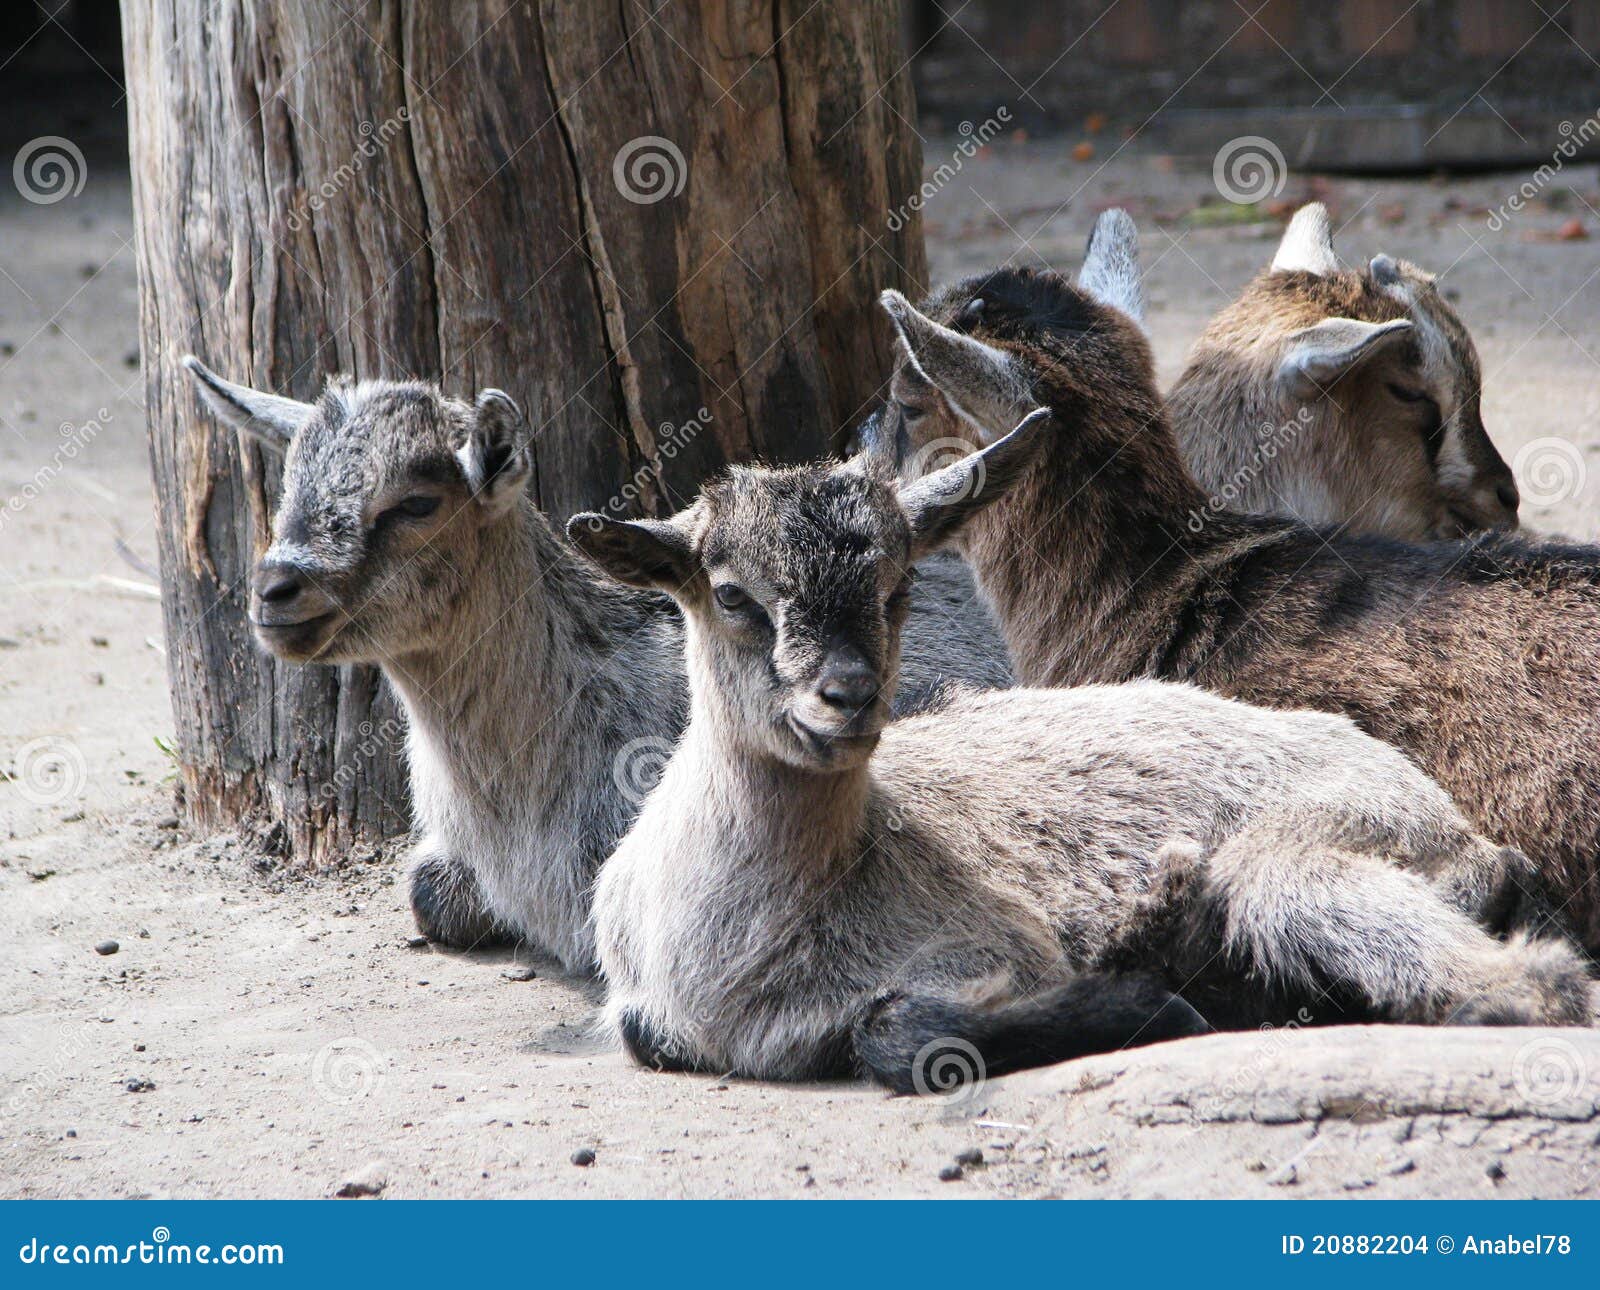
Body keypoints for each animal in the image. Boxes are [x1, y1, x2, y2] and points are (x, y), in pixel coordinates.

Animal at [570, 420, 1590, 1091]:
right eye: (732, 595)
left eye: (899, 588)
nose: (847, 695)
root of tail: (1459, 827)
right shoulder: (643, 1013)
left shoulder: (1001, 948)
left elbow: (894, 1032)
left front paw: (1153, 1004)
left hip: (1306, 848)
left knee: (1540, 982)